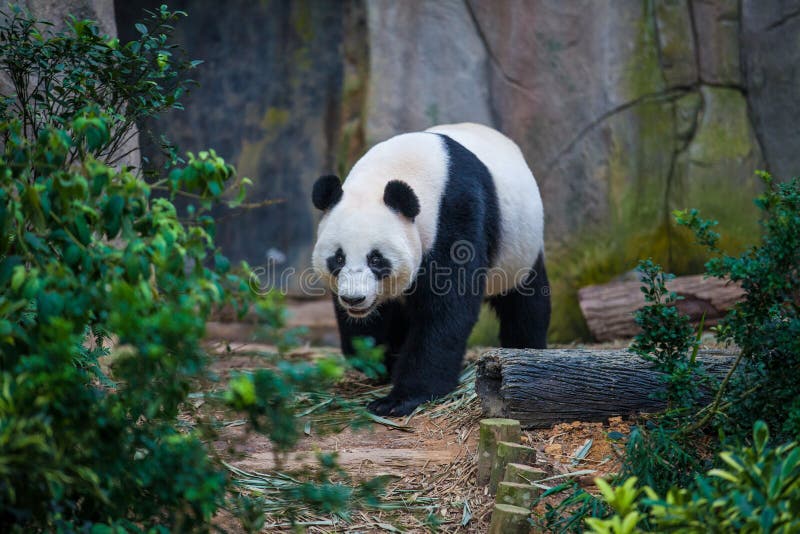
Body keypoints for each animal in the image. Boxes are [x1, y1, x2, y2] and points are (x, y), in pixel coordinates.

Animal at [311, 122, 550, 416]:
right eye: (338, 258)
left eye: (376, 259)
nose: (354, 299)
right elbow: (373, 321)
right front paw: (378, 360)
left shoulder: (457, 211)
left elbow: (445, 309)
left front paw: (401, 398)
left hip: (520, 250)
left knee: (526, 303)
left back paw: (526, 349)